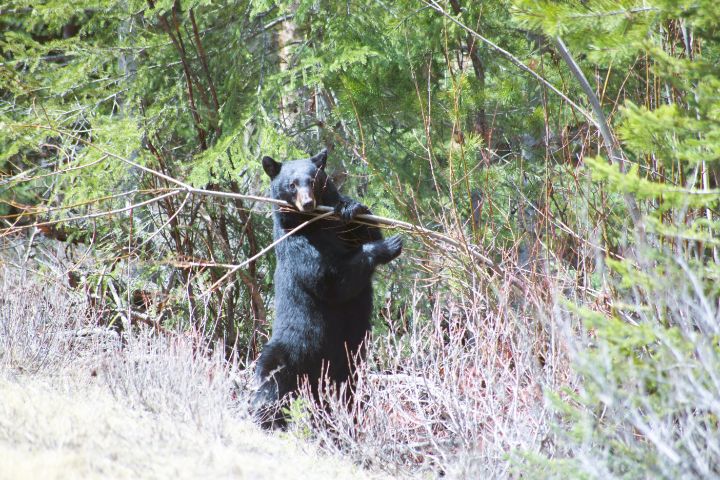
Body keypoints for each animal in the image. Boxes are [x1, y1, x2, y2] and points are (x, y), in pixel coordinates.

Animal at [252, 148, 402, 429]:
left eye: (314, 180)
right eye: (291, 184)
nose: (308, 203)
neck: (314, 223)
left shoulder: (338, 227)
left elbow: (365, 228)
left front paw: (350, 207)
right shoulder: (296, 242)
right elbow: (329, 281)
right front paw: (386, 246)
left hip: (349, 360)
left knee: (349, 390)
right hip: (290, 350)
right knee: (271, 382)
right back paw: (264, 413)